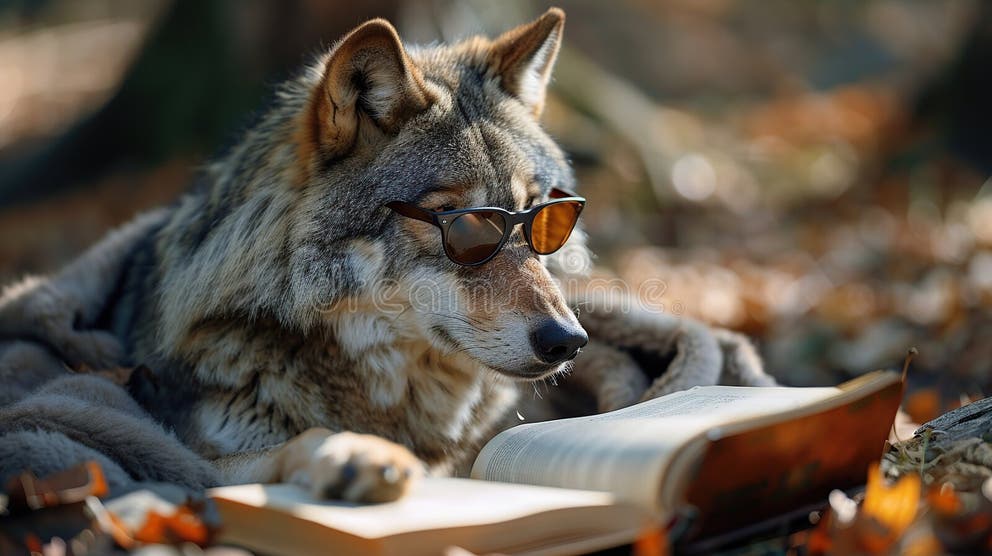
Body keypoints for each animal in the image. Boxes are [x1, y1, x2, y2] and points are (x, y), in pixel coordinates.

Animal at [0, 8, 595, 503]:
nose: (567, 340)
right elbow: (281, 445)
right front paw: (354, 454)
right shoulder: (189, 453)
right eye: (466, 225)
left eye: (542, 216)